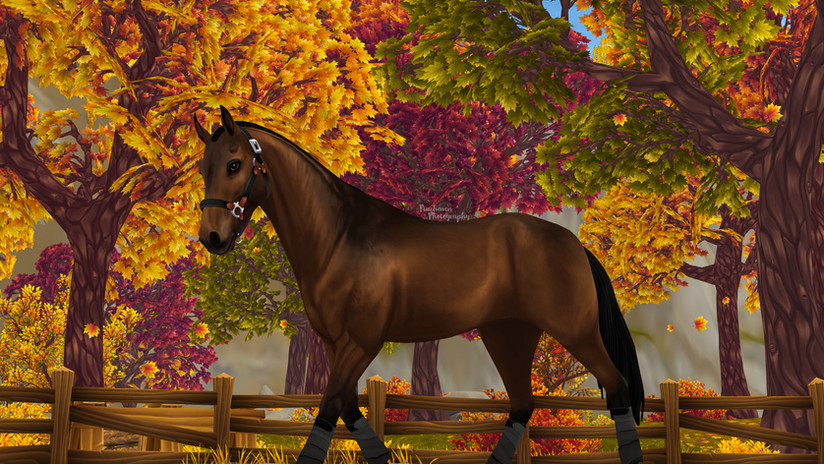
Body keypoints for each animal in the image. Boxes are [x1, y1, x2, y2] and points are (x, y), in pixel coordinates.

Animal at [194, 106, 645, 464]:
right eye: (203, 168)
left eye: (234, 164)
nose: (211, 238)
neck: (340, 238)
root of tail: (575, 244)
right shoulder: (335, 344)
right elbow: (349, 411)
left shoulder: (361, 342)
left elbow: (329, 408)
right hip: (508, 335)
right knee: (521, 405)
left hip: (577, 333)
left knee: (617, 388)